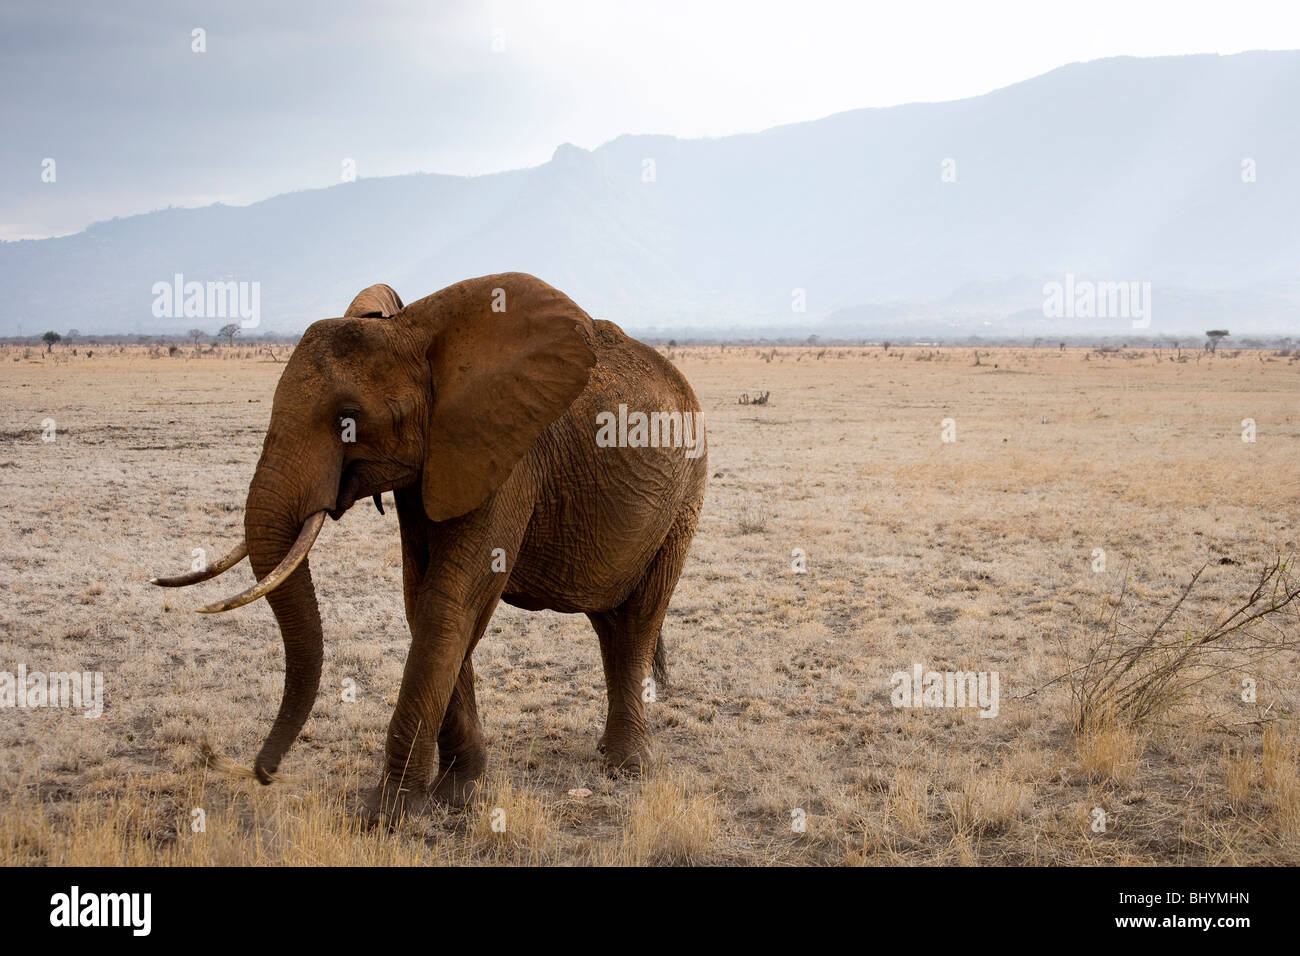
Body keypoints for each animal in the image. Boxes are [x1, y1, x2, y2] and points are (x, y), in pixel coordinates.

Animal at [153, 273, 707, 819]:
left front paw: (388, 814)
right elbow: (421, 598)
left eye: (348, 419)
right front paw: (458, 792)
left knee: (637, 621)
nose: (264, 774)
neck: (414, 332)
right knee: (609, 624)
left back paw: (625, 768)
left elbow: (451, 600)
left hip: (684, 498)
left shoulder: (508, 456)